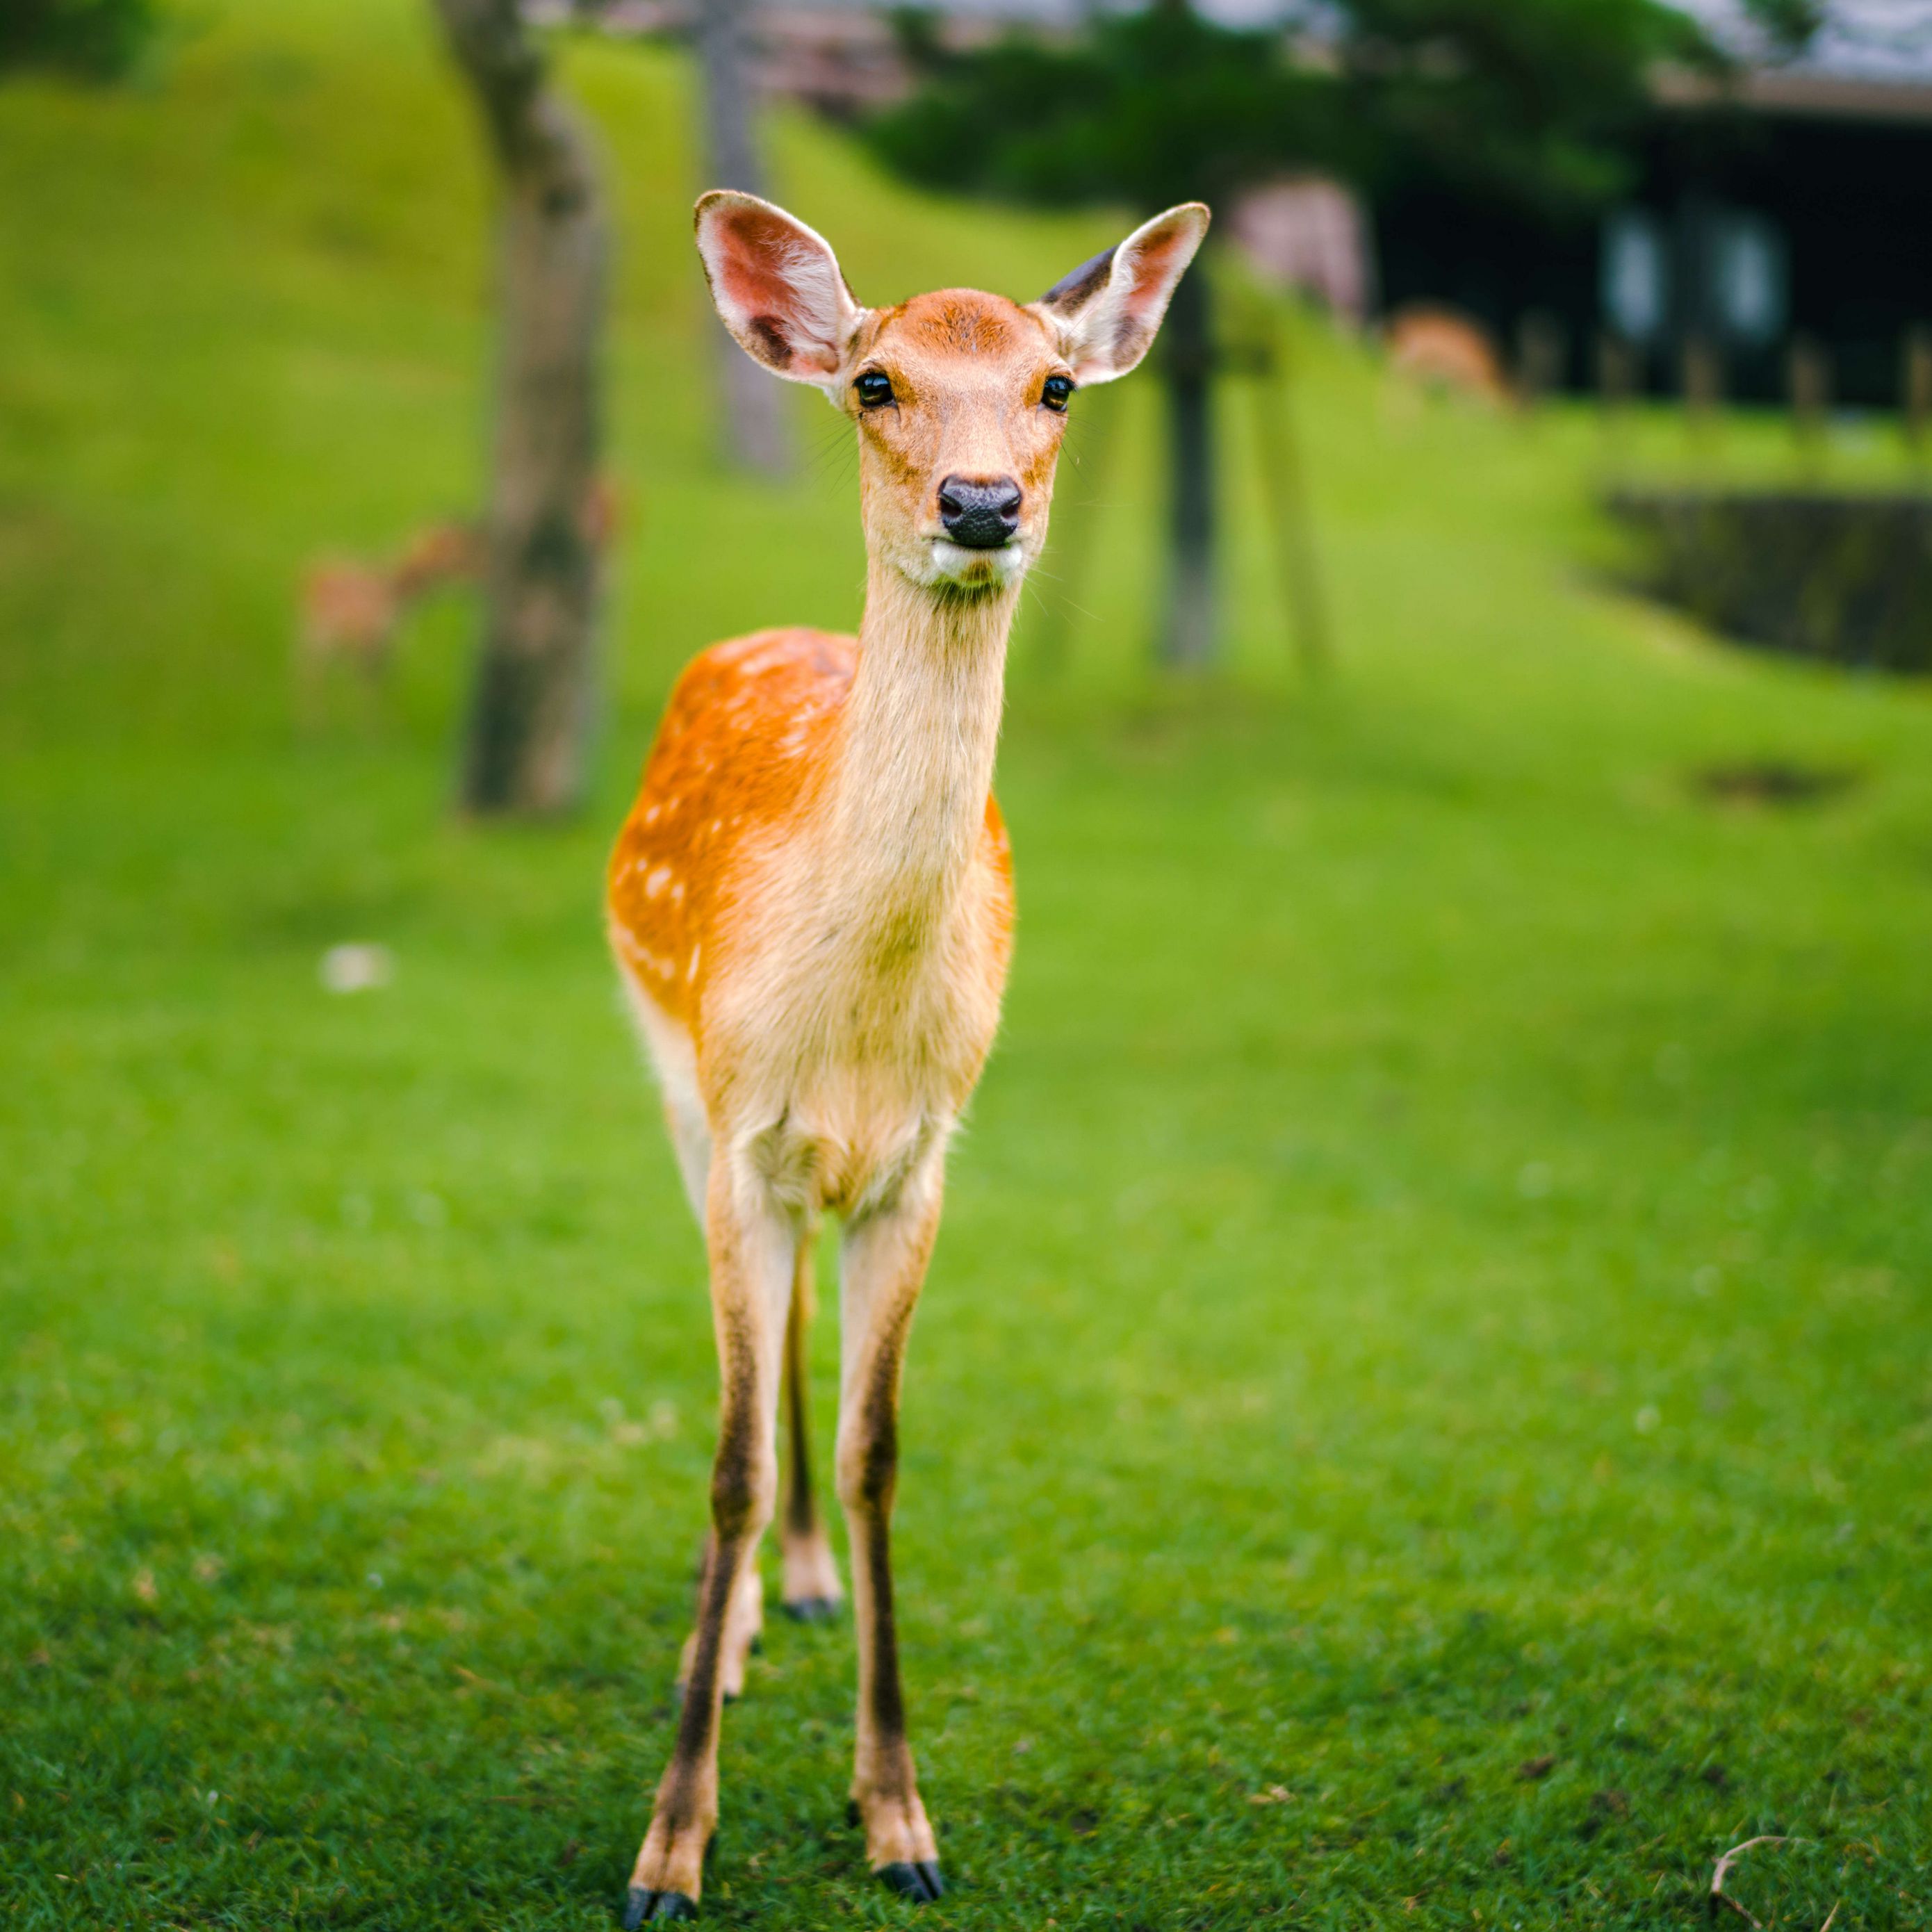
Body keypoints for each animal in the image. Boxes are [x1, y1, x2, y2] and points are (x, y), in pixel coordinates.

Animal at [604, 189, 1209, 1921]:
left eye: (1055, 386)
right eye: (874, 382)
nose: (982, 499)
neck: (858, 1024)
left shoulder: (925, 1153)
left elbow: (878, 1451)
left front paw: (900, 1818)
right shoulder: (741, 1118)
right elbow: (730, 1457)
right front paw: (670, 1848)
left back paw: (800, 1588)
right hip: (671, 1078)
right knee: (747, 1354)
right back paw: (746, 1616)